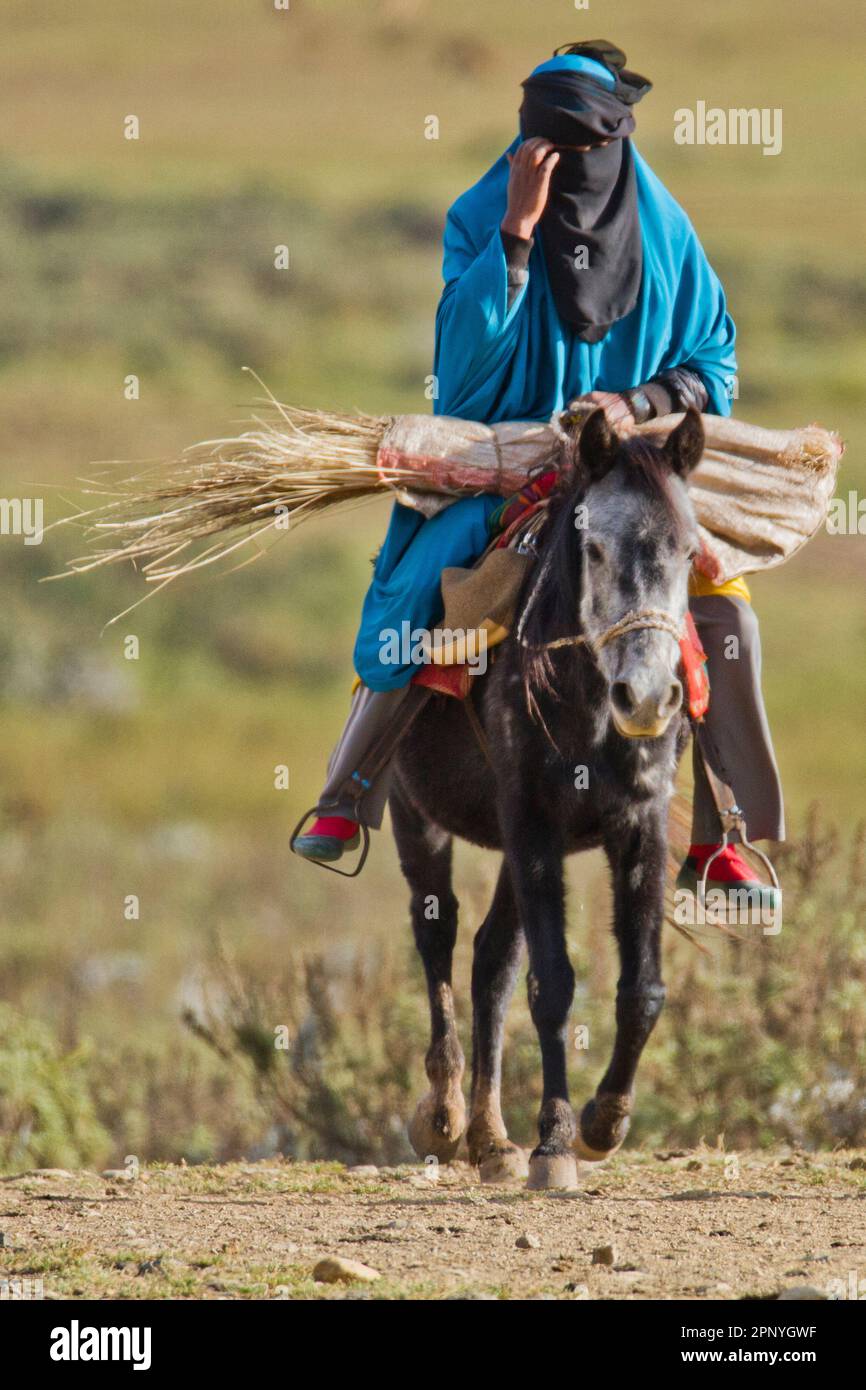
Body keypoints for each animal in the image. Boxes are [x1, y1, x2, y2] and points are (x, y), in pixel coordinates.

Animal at [389, 405, 706, 1190]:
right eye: (593, 548)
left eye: (690, 553)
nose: (645, 698)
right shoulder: (531, 818)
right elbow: (554, 984)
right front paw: (556, 1141)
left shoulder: (637, 825)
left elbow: (641, 988)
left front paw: (604, 1121)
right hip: (417, 820)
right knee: (438, 936)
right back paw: (446, 1116)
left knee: (490, 960)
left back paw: (491, 1139)